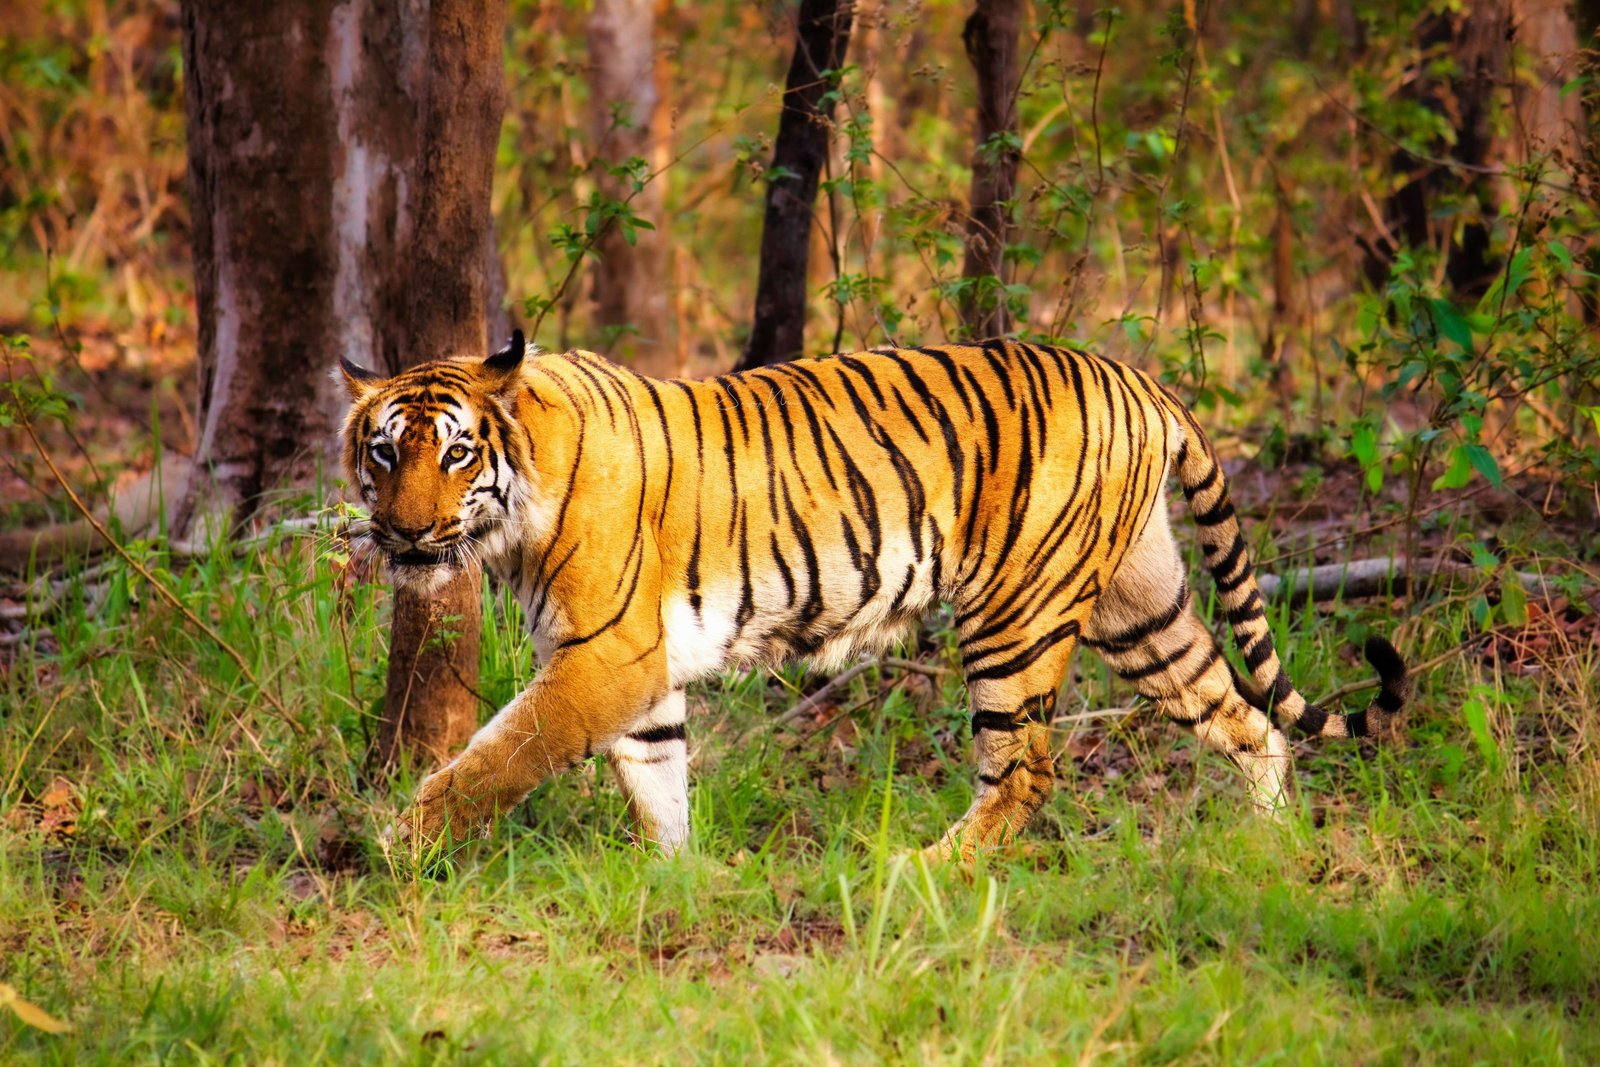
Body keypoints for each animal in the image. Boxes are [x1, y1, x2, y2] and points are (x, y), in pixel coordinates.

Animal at [338, 334, 1409, 861]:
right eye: (382, 452)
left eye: (456, 453)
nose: (404, 534)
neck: (515, 509)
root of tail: (1138, 378)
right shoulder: (640, 672)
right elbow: (658, 779)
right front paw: (678, 883)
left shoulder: (605, 655)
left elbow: (493, 759)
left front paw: (394, 847)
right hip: (1140, 612)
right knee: (1248, 718)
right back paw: (1271, 846)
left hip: (1017, 617)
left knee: (1024, 772)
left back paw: (927, 871)